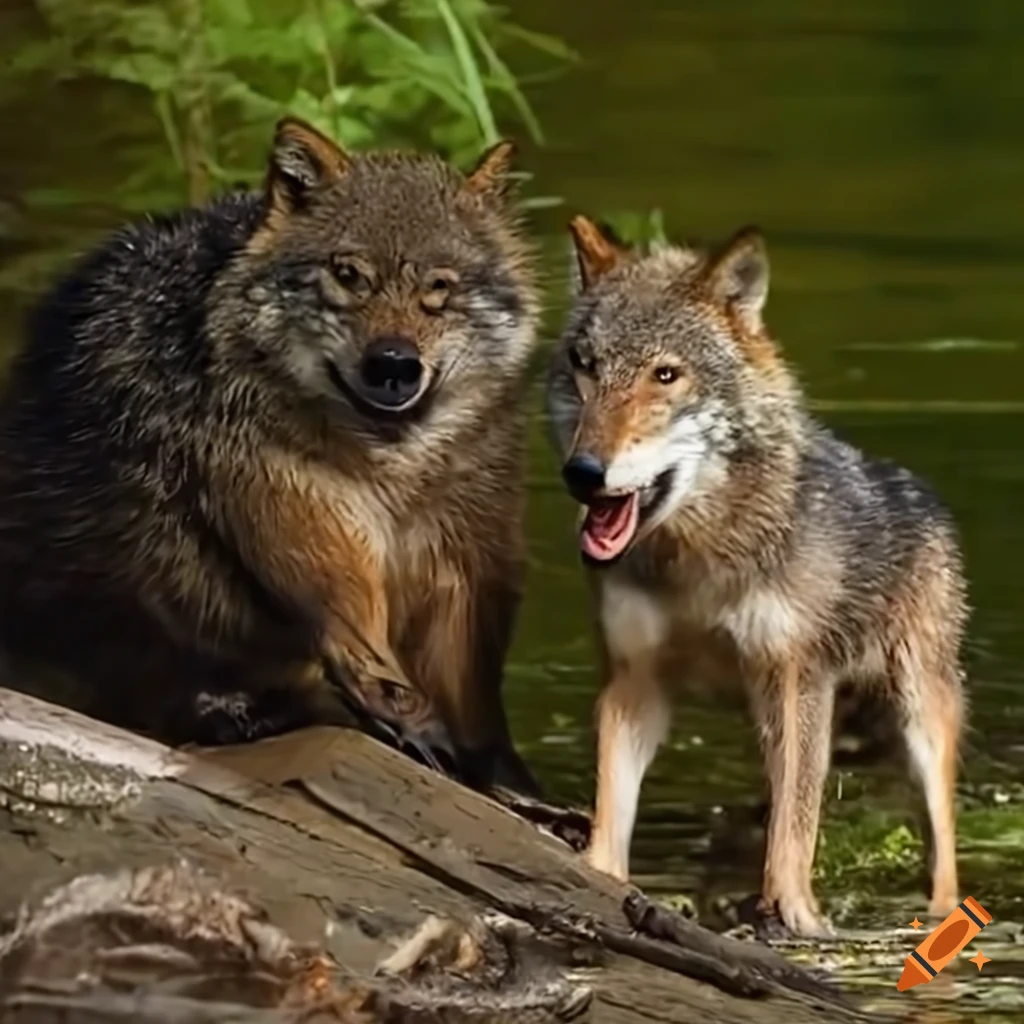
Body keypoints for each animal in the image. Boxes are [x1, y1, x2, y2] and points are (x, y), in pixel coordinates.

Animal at [0, 117, 540, 796]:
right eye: (349, 274)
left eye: (438, 288)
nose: (393, 363)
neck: (391, 471)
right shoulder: (291, 513)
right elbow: (353, 633)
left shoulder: (465, 558)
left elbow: (477, 704)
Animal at [546, 216, 967, 936]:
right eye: (586, 366)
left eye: (665, 374)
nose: (584, 472)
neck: (698, 561)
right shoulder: (634, 683)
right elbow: (612, 806)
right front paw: (599, 874)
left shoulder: (797, 682)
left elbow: (796, 824)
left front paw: (795, 914)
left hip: (919, 713)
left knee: (942, 851)